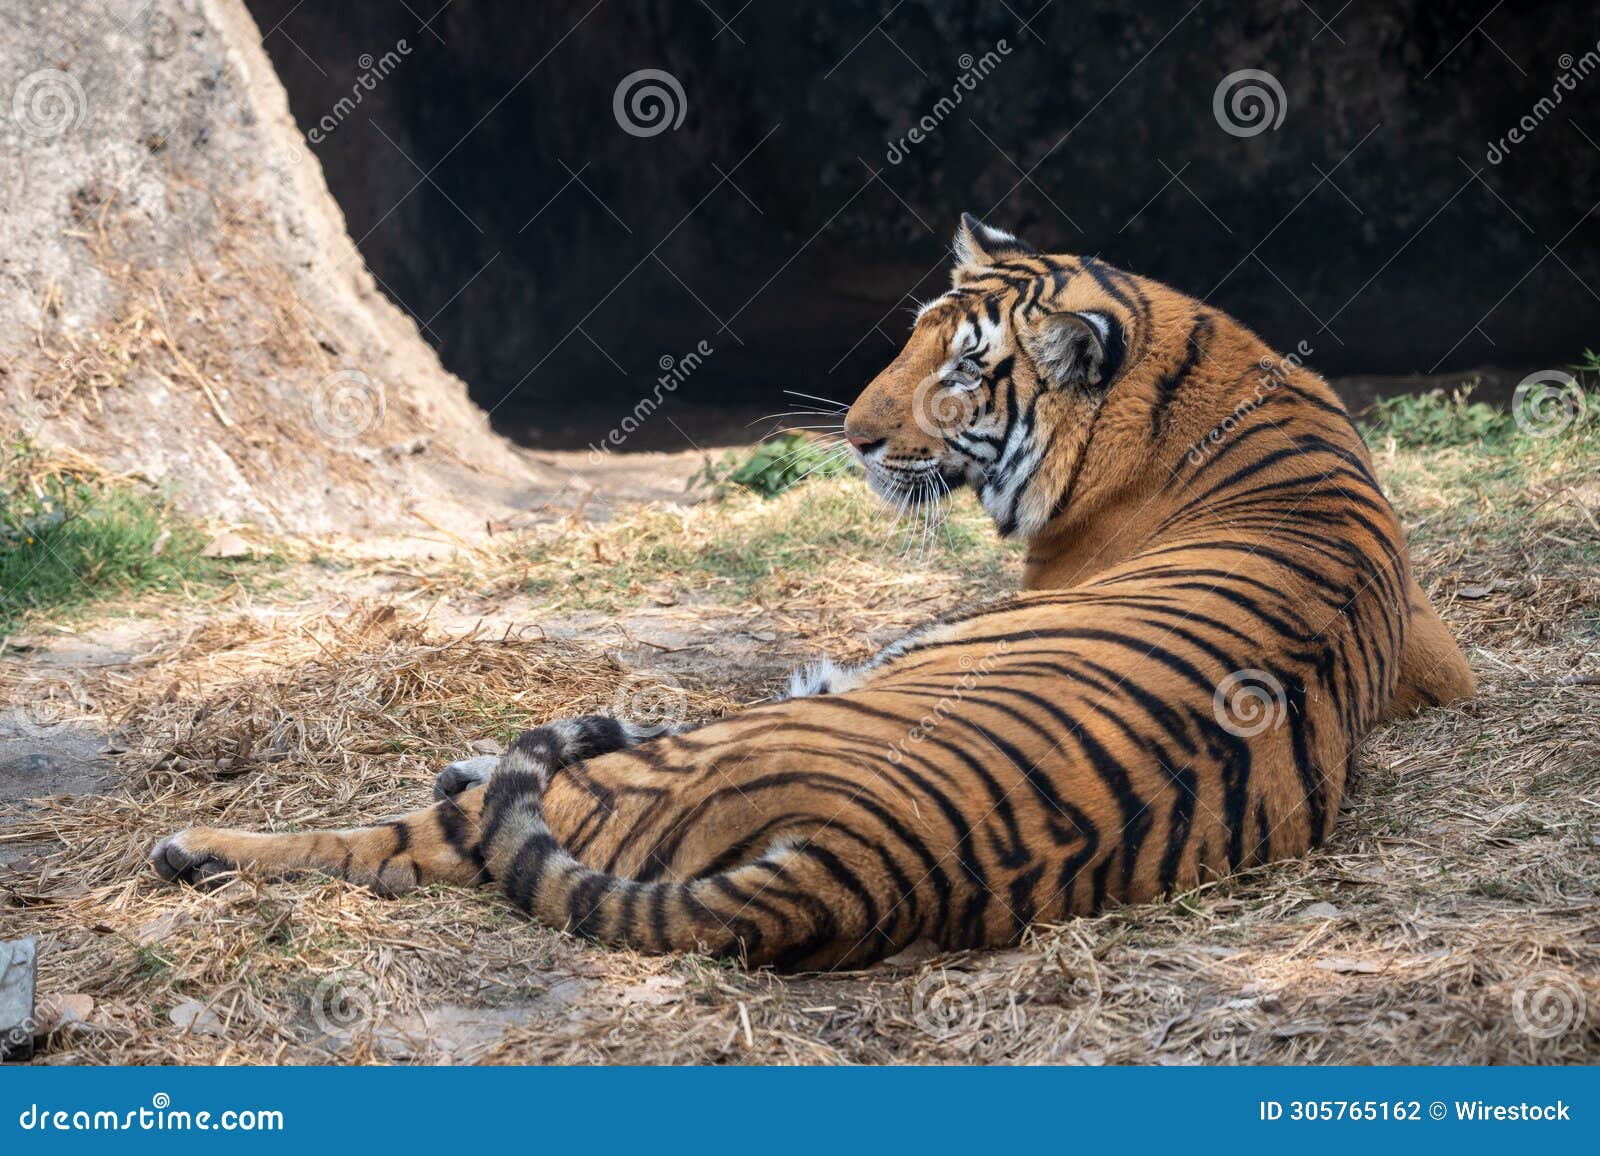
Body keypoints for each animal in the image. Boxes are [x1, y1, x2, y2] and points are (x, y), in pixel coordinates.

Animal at [150, 214, 1475, 970]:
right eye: (915, 336)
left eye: (963, 372)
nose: (850, 436)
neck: (1193, 370)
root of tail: (859, 862)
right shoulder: (1438, 652)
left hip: (674, 770)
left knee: (418, 837)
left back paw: (199, 846)